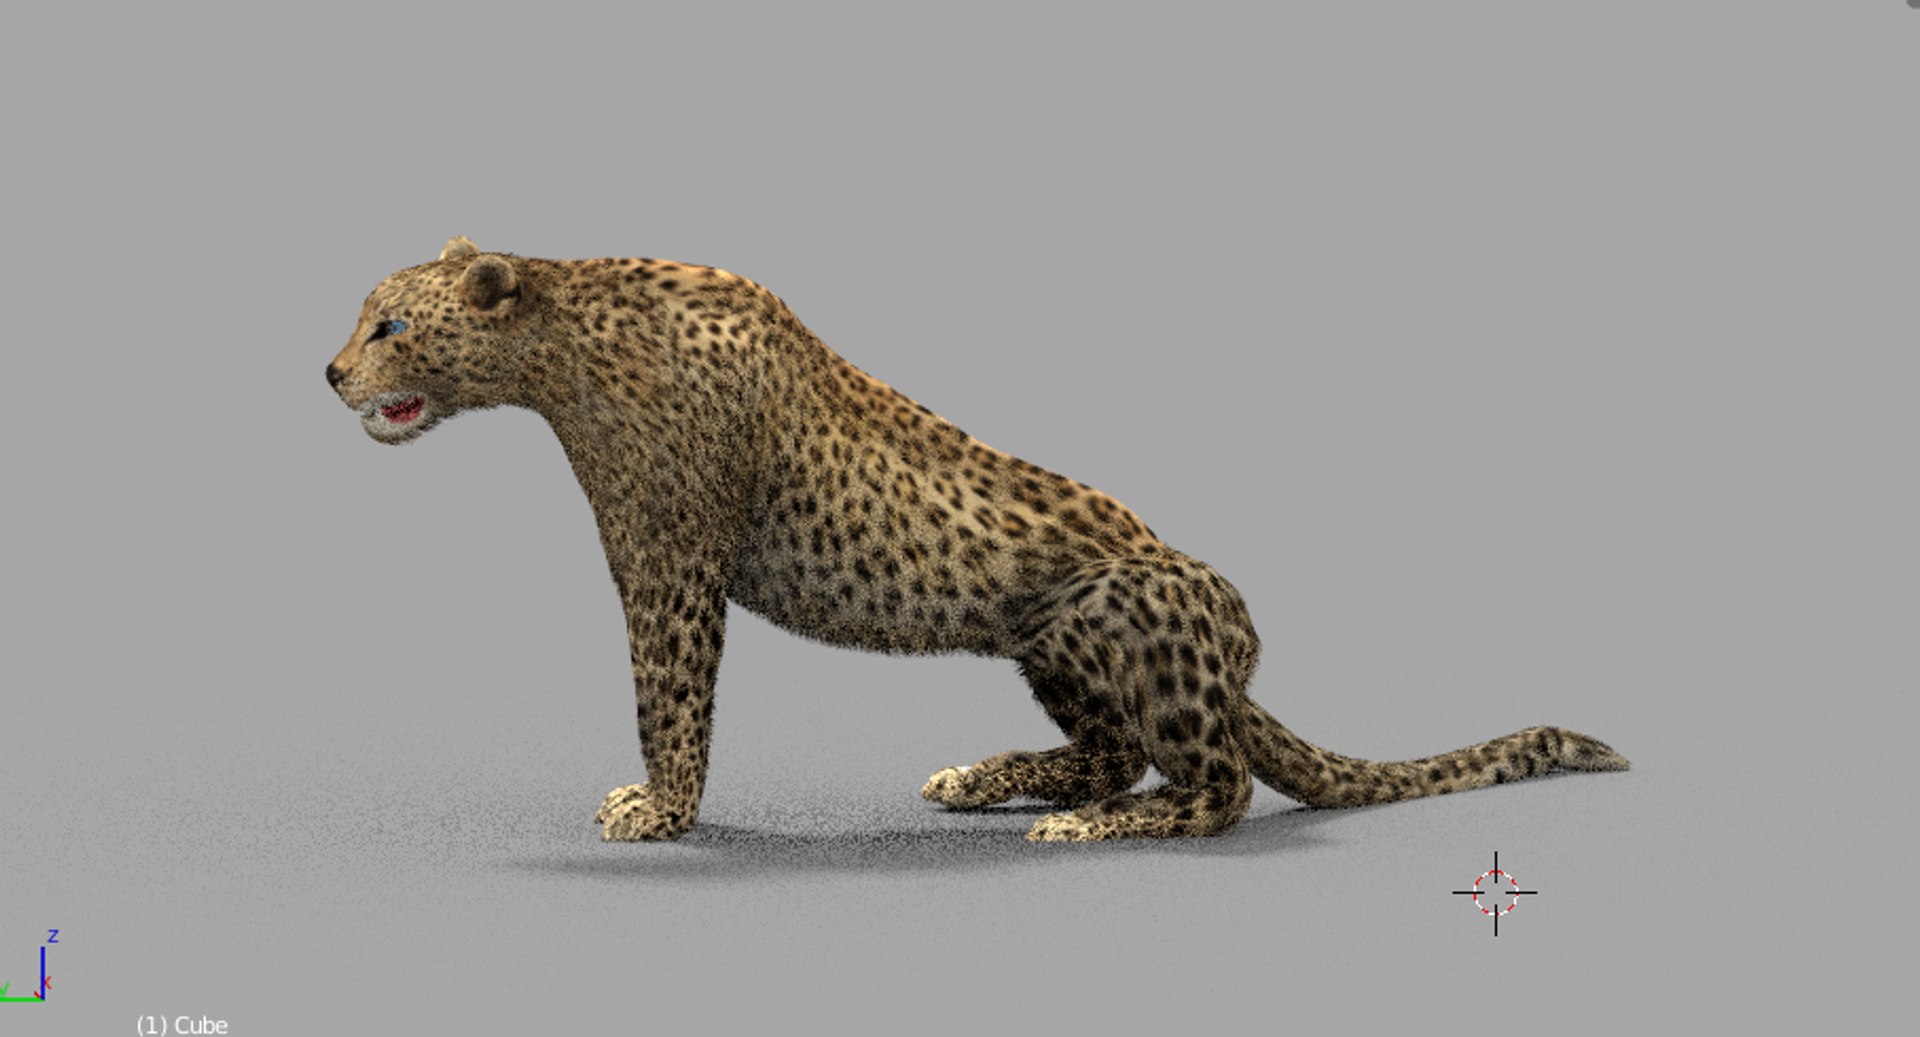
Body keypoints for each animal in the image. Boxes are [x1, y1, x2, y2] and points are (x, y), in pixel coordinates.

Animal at [325, 237, 1629, 843]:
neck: (562, 354)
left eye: (390, 324)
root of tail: (1240, 644)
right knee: (1116, 747)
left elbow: (669, 694)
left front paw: (660, 808)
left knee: (1215, 782)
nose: (331, 371)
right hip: (1050, 640)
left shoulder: (674, 559)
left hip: (1126, 608)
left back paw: (1093, 826)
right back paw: (990, 776)